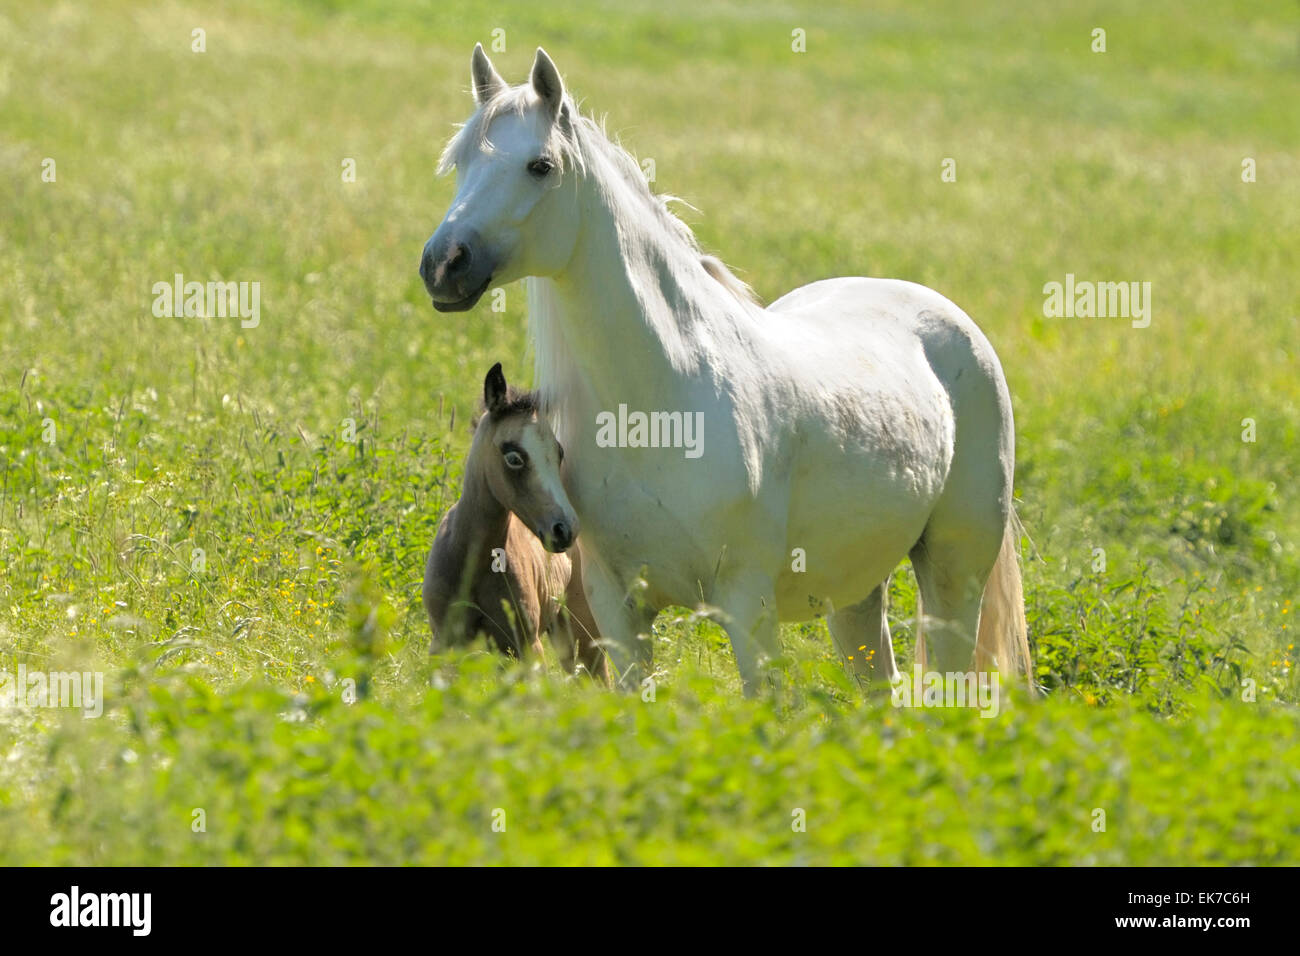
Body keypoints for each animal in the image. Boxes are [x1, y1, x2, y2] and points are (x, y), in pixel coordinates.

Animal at [422, 362, 609, 683]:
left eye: (558, 453)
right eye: (513, 458)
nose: (565, 529)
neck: (474, 561)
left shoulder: (526, 647)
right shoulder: (444, 644)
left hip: (581, 631)